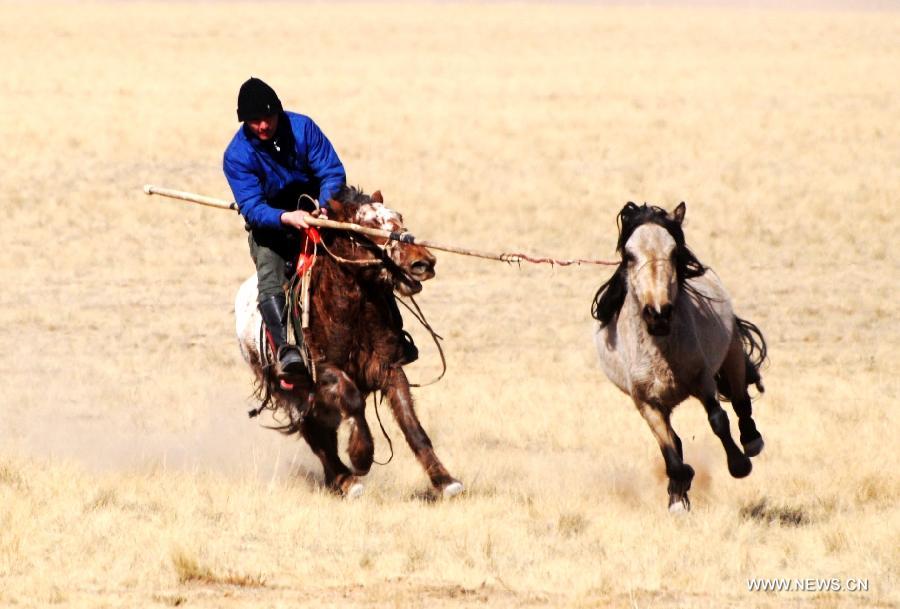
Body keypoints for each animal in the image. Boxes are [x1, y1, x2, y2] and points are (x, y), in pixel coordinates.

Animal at [235, 186, 463, 499]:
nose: (422, 262)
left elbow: (411, 424)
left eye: (399, 218)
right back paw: (346, 480)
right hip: (292, 394)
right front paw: (360, 456)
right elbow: (353, 400)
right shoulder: (321, 370)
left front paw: (445, 481)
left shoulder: (389, 367)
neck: (349, 313)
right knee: (316, 437)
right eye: (365, 227)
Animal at [592, 201, 767, 512]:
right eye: (629, 255)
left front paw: (739, 465)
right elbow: (667, 446)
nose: (658, 313)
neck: (661, 349)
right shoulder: (646, 402)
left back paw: (751, 440)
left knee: (740, 400)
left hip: (732, 352)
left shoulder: (703, 381)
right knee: (676, 438)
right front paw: (678, 491)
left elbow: (718, 420)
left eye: (674, 252)